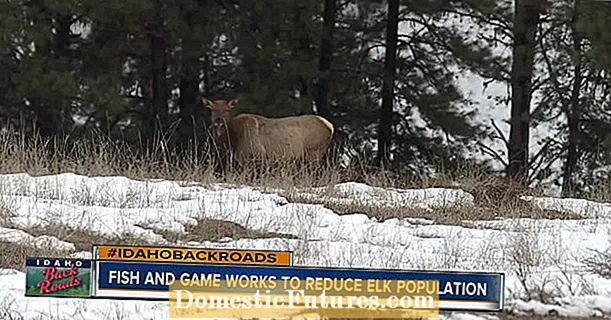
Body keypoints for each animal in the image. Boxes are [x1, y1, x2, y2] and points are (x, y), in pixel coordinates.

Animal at [206, 98, 334, 171]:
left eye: (227, 110)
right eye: (212, 110)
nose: (218, 122)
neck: (233, 141)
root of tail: (331, 127)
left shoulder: (255, 155)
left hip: (314, 151)